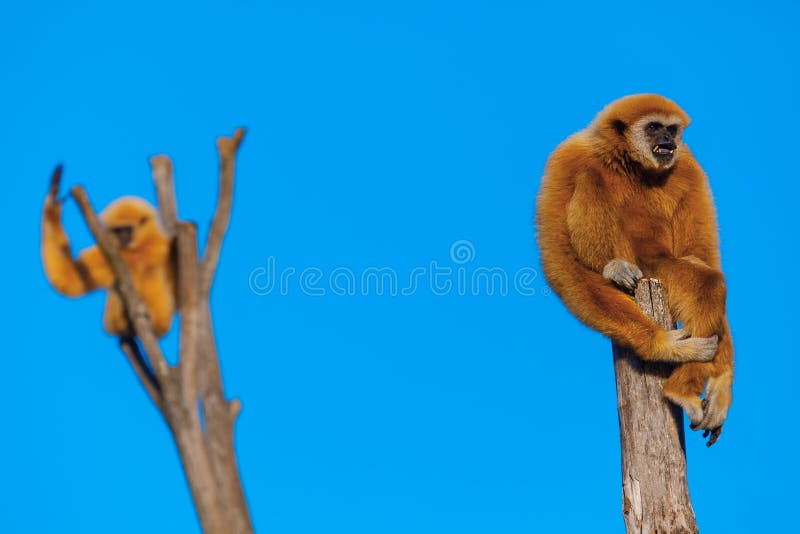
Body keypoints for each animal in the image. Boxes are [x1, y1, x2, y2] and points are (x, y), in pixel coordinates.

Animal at [41, 167, 175, 339]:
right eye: (117, 230)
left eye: (127, 229)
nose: (122, 237)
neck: (135, 250)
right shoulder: (108, 251)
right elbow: (69, 276)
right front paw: (52, 208)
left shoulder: (163, 246)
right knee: (120, 284)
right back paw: (124, 322)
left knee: (151, 272)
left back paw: (154, 323)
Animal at [536, 94, 733, 446]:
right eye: (654, 127)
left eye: (671, 129)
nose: (667, 140)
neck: (629, 163)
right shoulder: (565, 158)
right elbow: (560, 261)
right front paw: (663, 346)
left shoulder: (689, 167)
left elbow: (703, 256)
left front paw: (722, 384)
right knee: (589, 176)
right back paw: (614, 269)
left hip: (661, 270)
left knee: (707, 279)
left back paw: (680, 390)